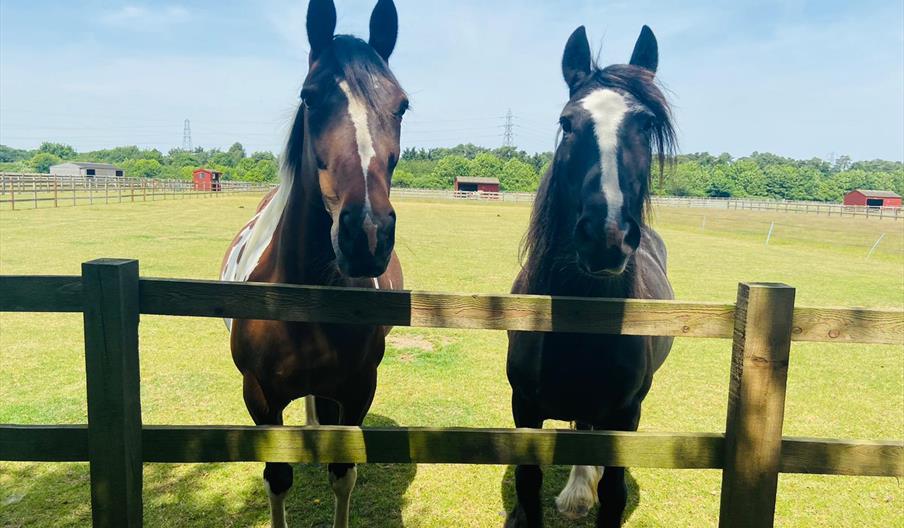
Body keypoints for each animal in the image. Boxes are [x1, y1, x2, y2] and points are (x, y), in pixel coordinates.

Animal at [219, 2, 406, 524]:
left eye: (401, 105)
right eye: (309, 95)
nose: (366, 234)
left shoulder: (358, 390)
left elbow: (343, 474)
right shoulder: (259, 396)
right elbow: (278, 477)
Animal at [504, 25, 676, 528]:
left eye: (646, 124)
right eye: (567, 123)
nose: (607, 235)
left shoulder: (625, 415)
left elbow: (615, 493)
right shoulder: (525, 408)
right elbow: (528, 486)